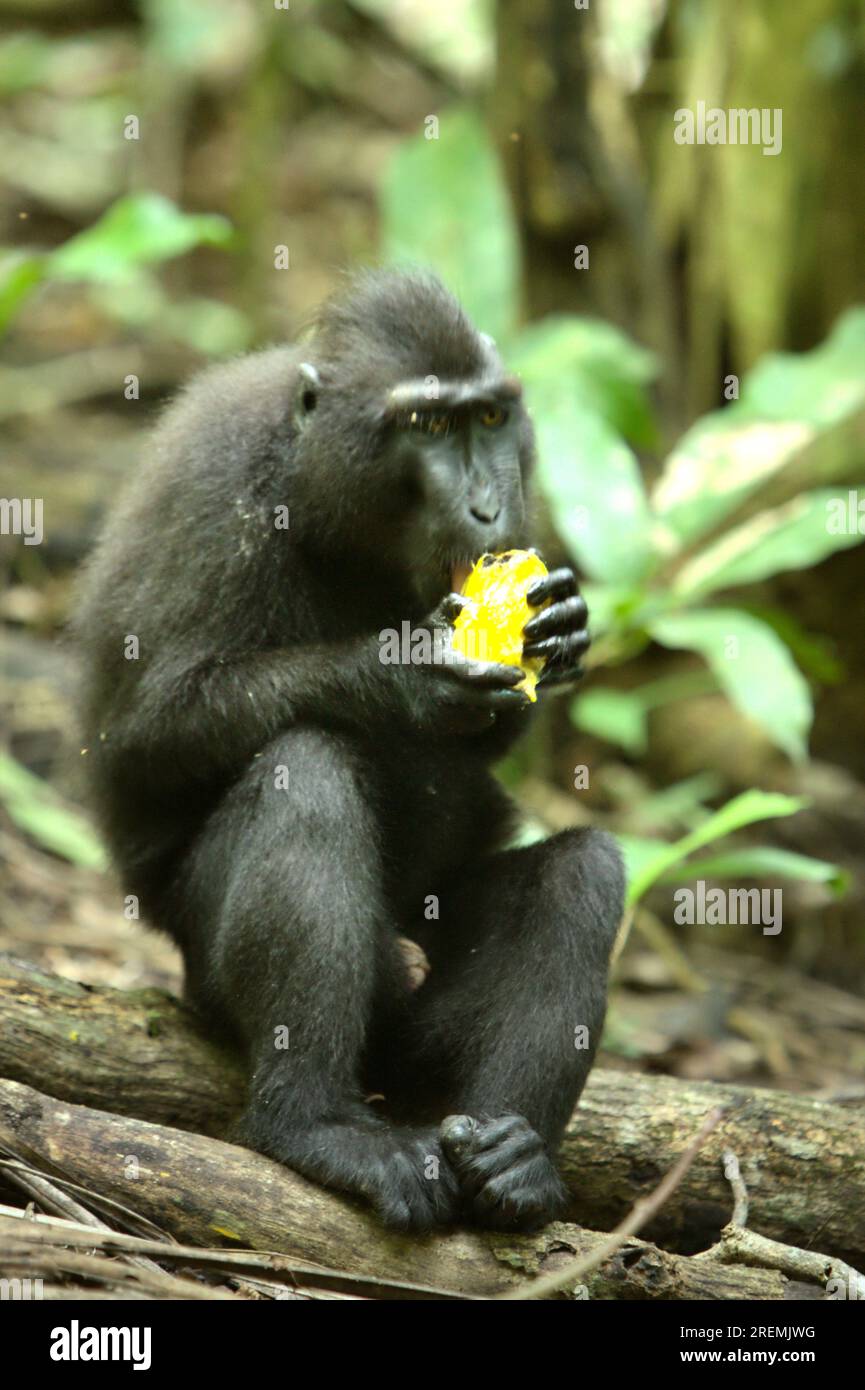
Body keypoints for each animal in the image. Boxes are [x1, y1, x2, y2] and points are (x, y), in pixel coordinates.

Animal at [73, 269, 625, 1232]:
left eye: (489, 418)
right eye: (429, 426)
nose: (488, 507)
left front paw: (564, 627)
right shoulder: (213, 492)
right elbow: (142, 735)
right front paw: (401, 674)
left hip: (418, 1033)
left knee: (580, 872)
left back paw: (514, 1161)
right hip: (219, 971)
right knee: (309, 771)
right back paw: (312, 1127)